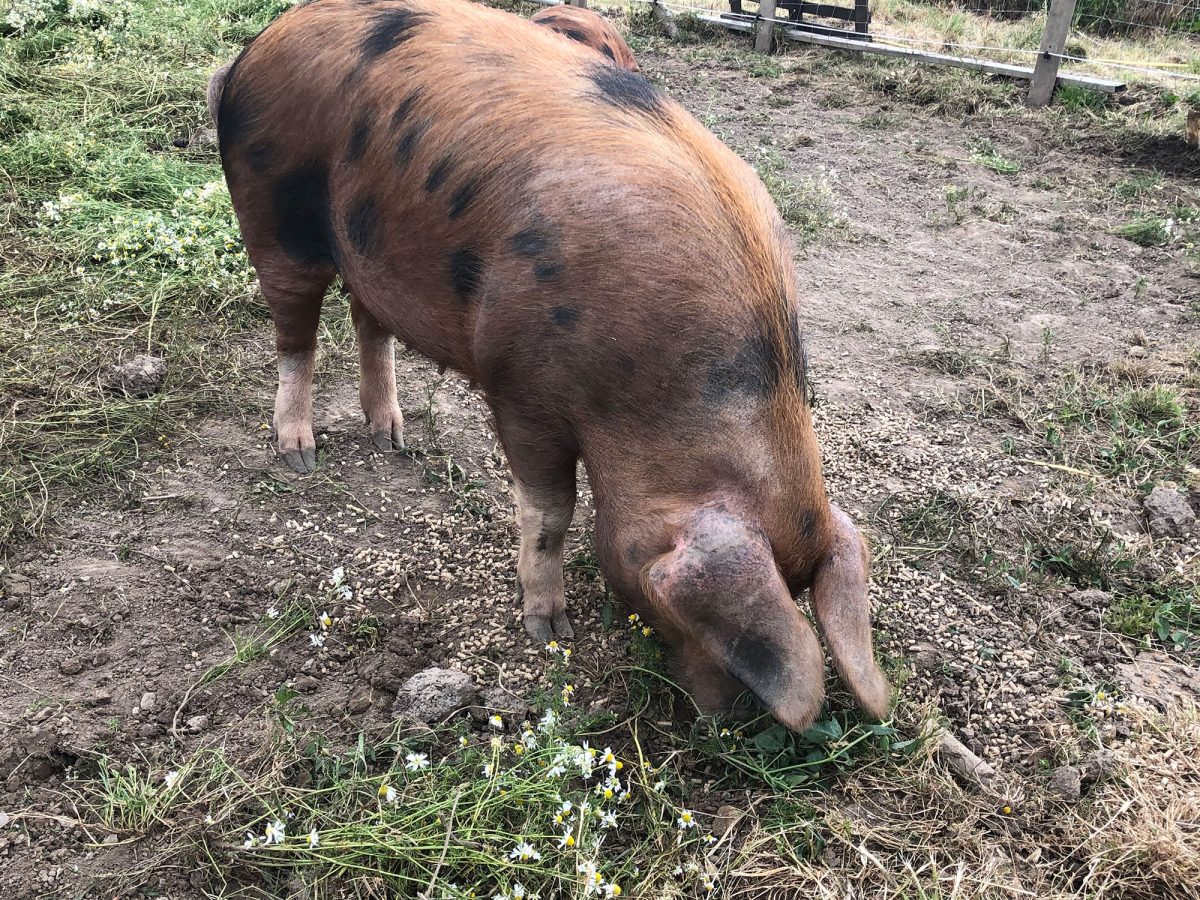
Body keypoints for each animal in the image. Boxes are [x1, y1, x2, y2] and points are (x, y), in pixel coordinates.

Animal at [208, 0, 890, 729]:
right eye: (671, 602)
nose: (716, 723)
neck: (656, 391)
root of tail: (259, 46)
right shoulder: (521, 388)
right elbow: (551, 510)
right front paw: (549, 631)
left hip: (366, 243)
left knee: (368, 319)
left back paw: (391, 437)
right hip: (271, 208)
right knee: (295, 333)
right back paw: (299, 454)